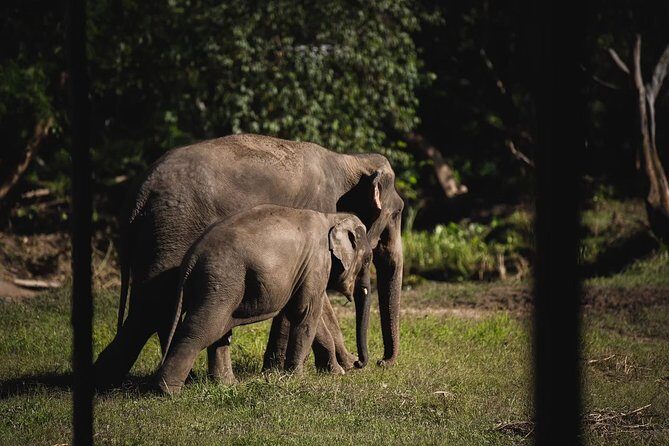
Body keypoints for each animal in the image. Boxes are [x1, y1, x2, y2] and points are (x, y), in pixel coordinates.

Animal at [156, 205, 373, 395]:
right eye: (368, 259)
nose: (358, 362)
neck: (332, 217)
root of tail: (191, 259)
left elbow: (305, 314)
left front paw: (336, 373)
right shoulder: (316, 262)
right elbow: (306, 313)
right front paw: (297, 378)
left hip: (221, 286)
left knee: (220, 331)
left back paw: (227, 385)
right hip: (222, 280)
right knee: (202, 329)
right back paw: (168, 391)